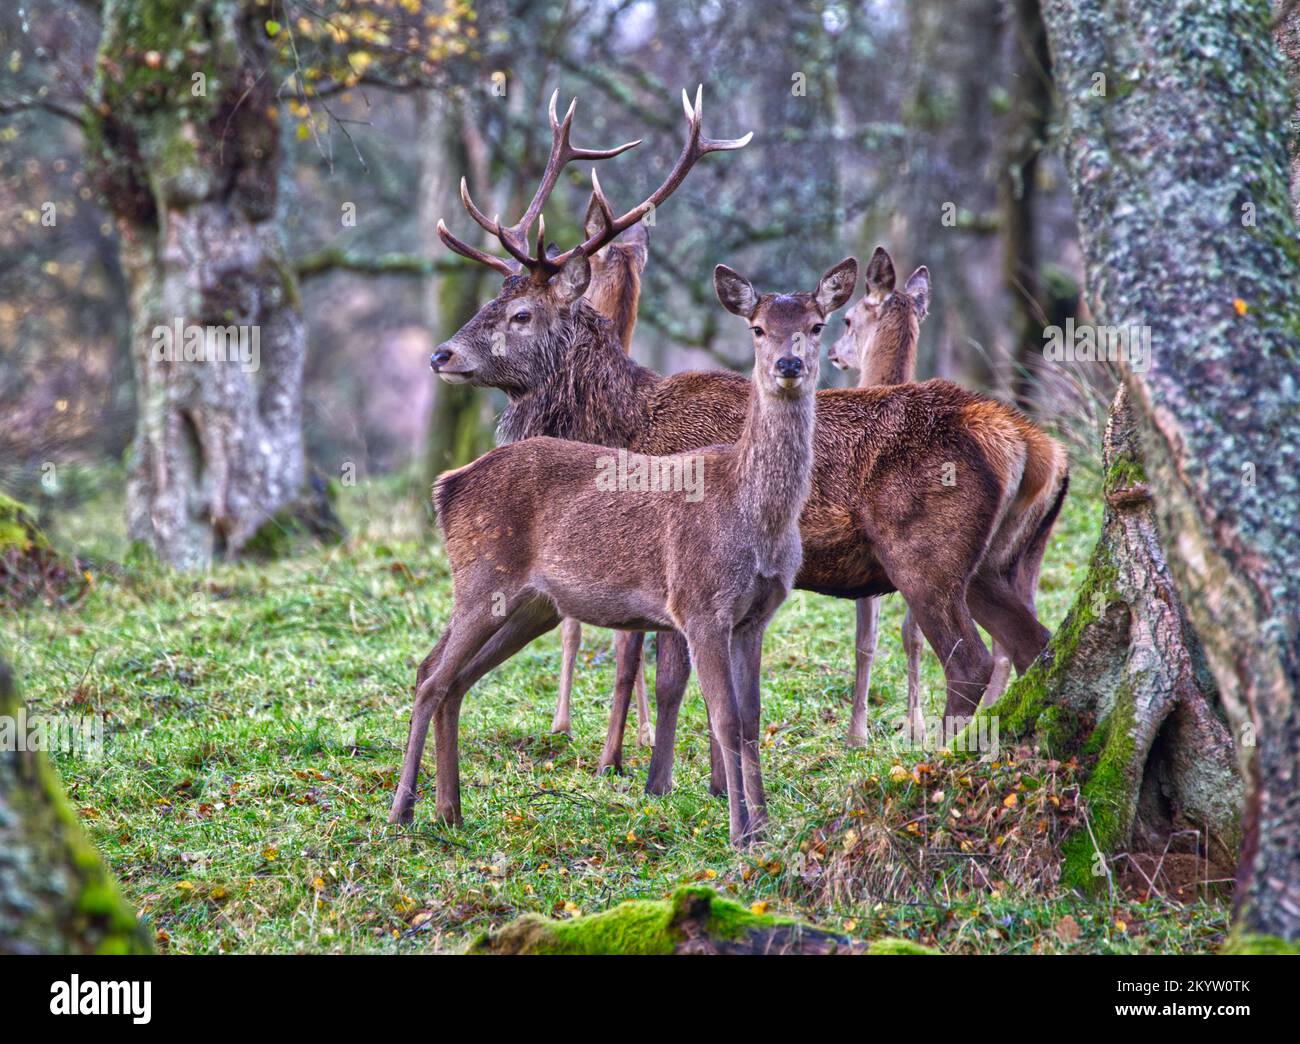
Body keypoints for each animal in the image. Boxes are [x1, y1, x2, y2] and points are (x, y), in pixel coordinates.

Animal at [430, 90, 1070, 795]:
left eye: (521, 315)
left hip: (927, 554)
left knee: (971, 665)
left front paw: (653, 779)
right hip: (1002, 561)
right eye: (492, 301)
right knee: (1036, 646)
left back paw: (932, 767)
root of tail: (1034, 447)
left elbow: (662, 674)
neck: (625, 426)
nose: (441, 354)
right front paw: (711, 782)